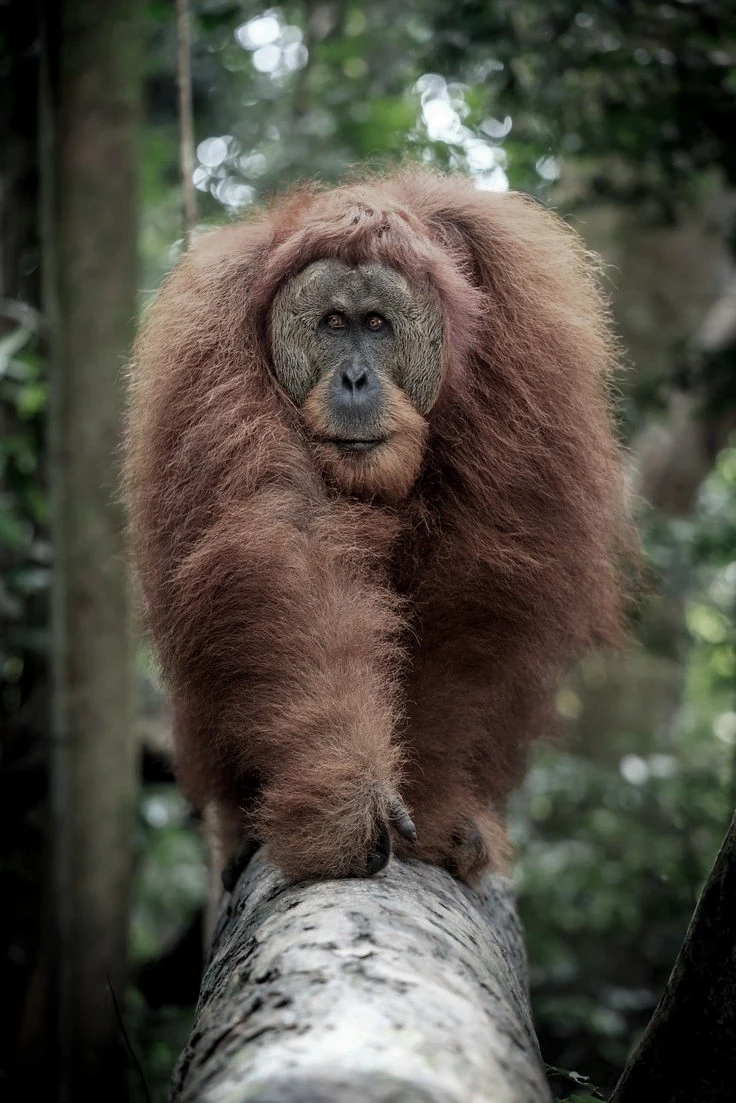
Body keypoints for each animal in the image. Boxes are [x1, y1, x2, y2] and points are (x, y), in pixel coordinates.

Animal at [125, 168, 633, 887]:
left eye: (376, 324)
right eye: (334, 323)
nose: (355, 377)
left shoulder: (527, 323)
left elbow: (480, 576)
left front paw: (436, 804)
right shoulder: (213, 329)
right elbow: (290, 534)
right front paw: (345, 799)